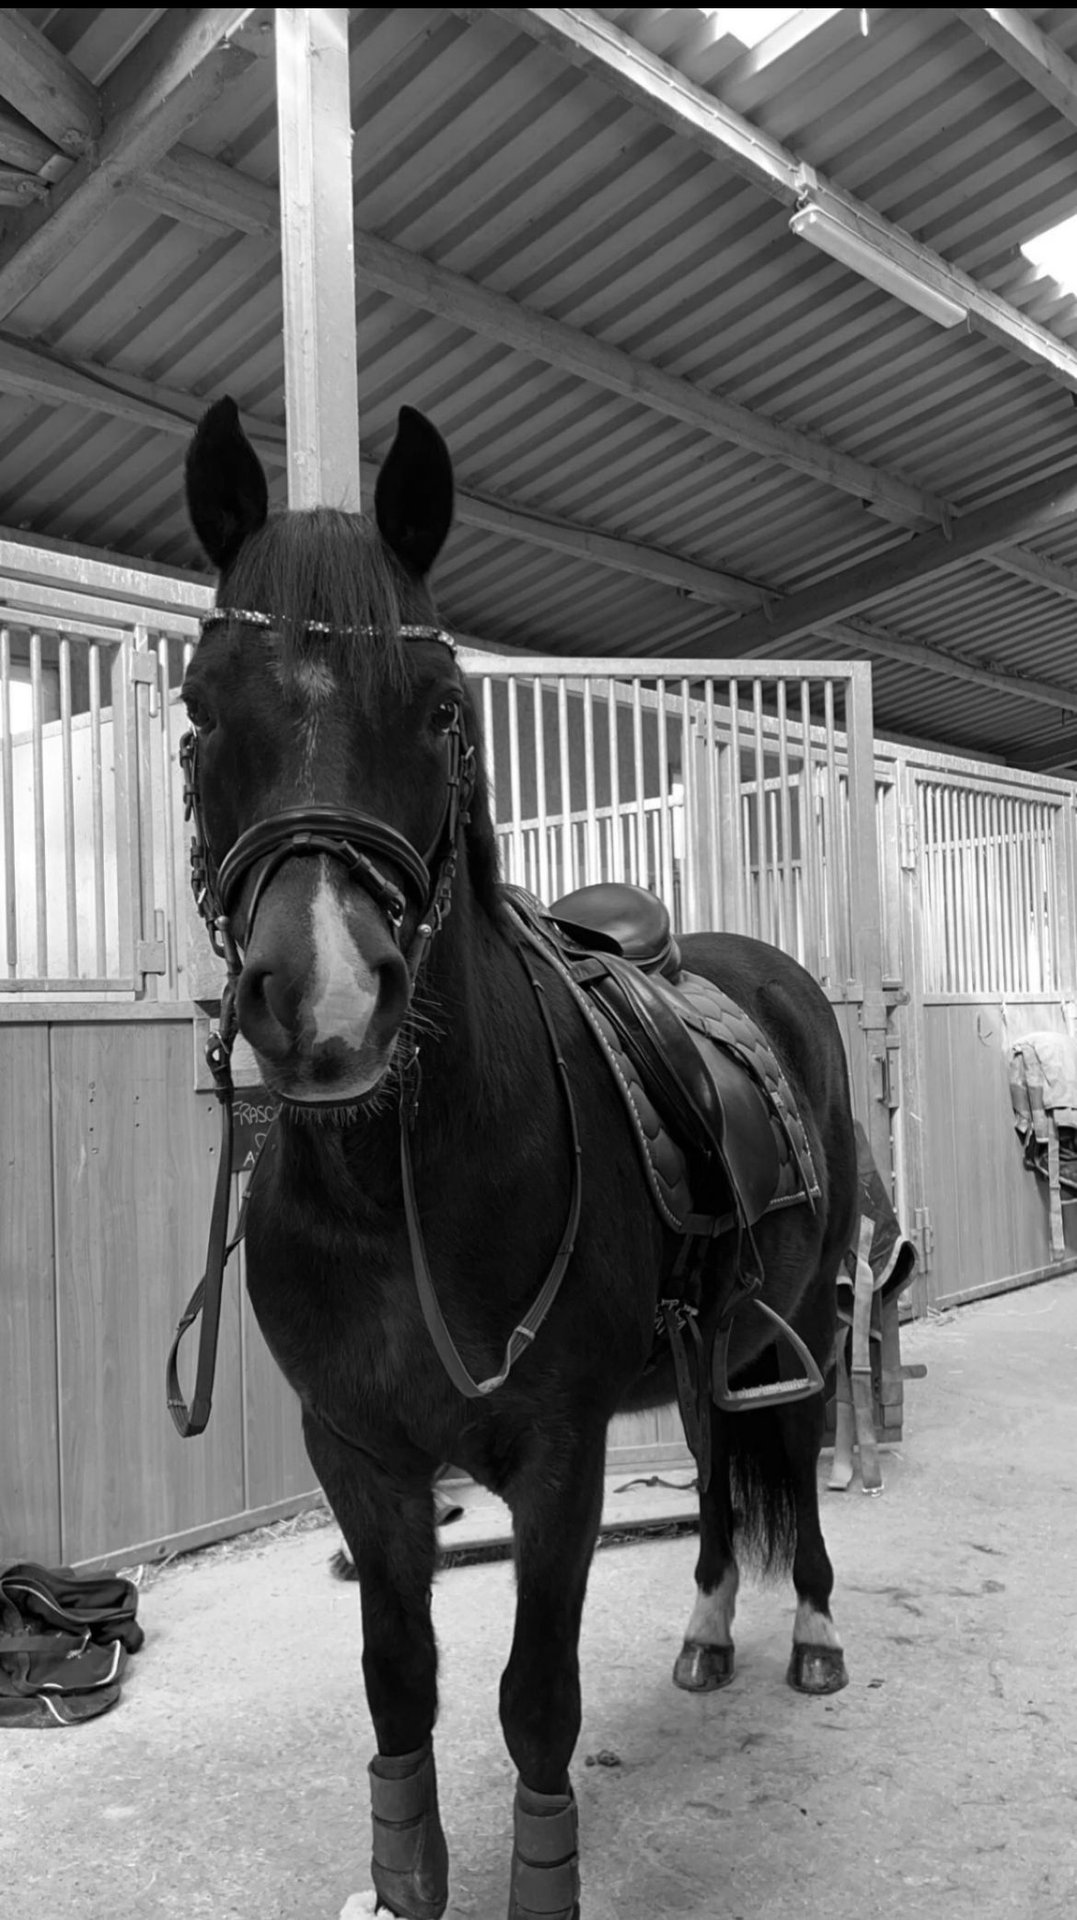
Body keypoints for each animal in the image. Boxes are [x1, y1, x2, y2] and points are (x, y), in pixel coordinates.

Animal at [178, 395, 859, 1920]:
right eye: (197, 708)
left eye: (442, 709)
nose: (327, 1003)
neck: (399, 1201)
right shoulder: (357, 1457)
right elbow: (401, 1689)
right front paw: (404, 1880)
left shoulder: (558, 1459)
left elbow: (533, 1701)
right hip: (708, 1342)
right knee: (720, 1468)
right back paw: (710, 1627)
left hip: (808, 1312)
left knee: (792, 1447)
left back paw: (810, 1631)